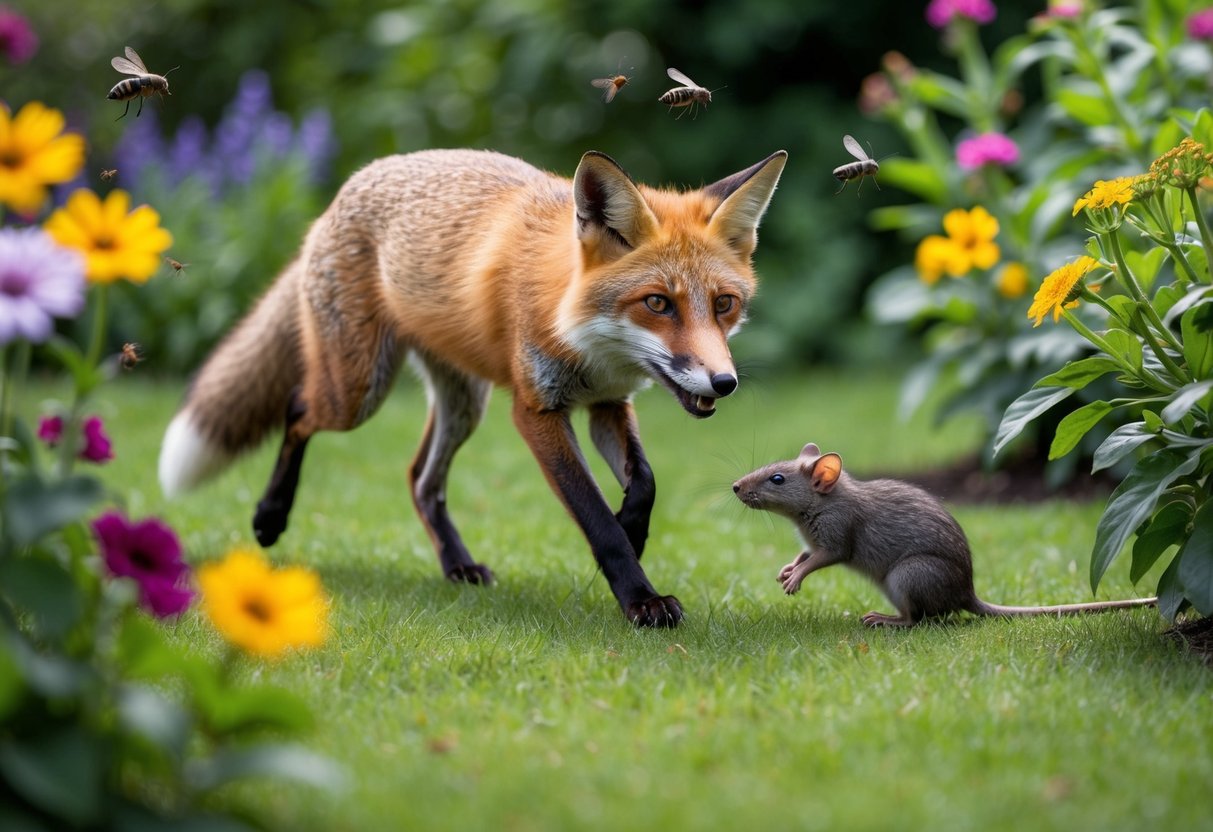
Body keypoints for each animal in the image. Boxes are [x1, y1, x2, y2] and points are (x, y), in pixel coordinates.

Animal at [158, 147, 787, 627]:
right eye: (658, 303)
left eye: (724, 304)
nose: (724, 382)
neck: (585, 338)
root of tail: (344, 191)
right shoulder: (536, 410)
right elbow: (595, 517)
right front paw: (640, 599)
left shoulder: (608, 403)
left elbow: (646, 483)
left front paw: (635, 534)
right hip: (359, 391)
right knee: (298, 409)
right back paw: (270, 516)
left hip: (463, 404)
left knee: (421, 479)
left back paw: (457, 565)